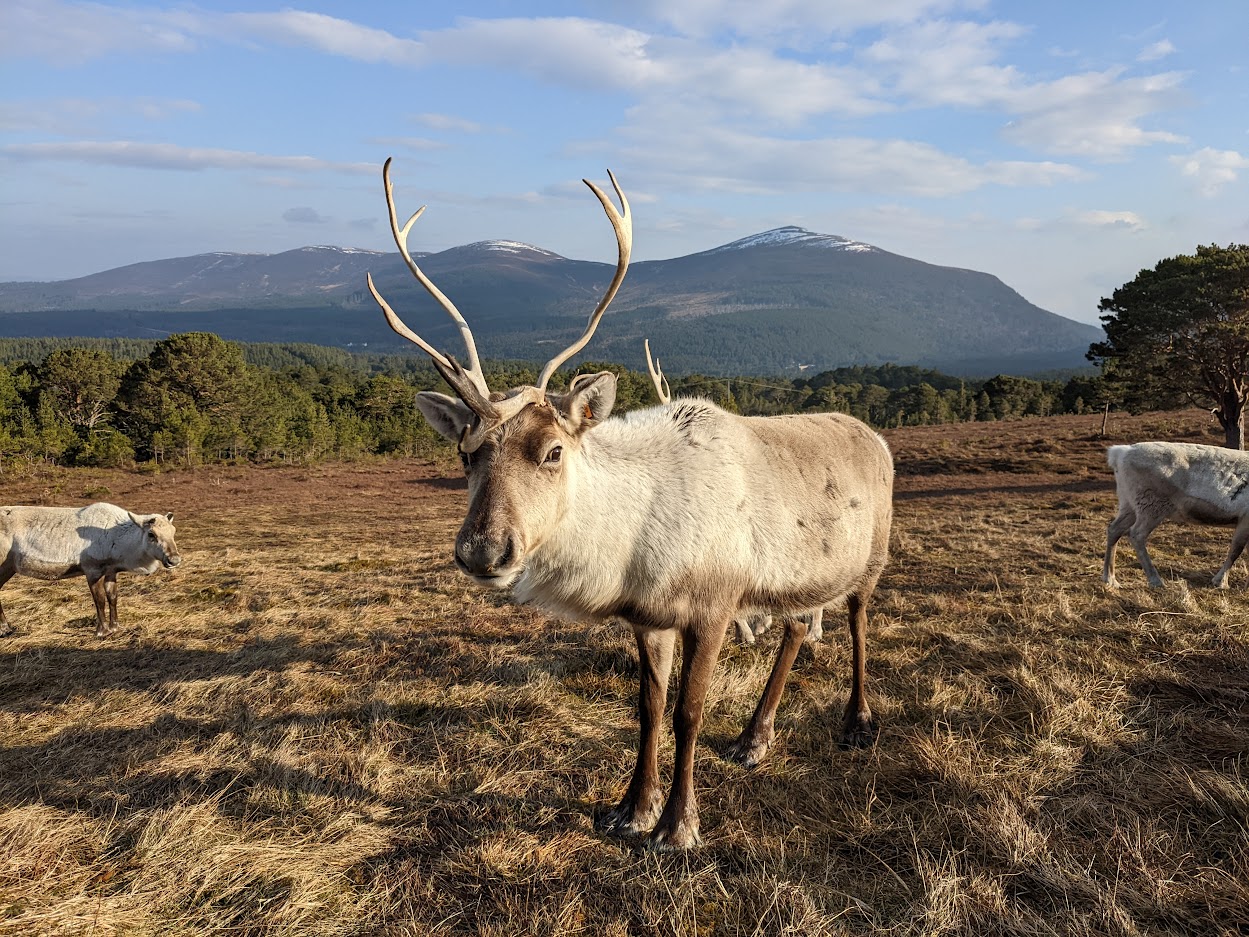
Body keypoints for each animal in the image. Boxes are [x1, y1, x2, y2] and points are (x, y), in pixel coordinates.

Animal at [366, 158, 894, 849]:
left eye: (553, 450)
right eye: (465, 452)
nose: (483, 551)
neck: (635, 543)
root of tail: (876, 435)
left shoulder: (715, 604)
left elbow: (689, 712)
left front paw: (678, 824)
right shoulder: (648, 616)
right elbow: (648, 709)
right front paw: (631, 809)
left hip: (871, 558)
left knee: (857, 620)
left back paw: (858, 720)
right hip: (803, 573)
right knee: (799, 626)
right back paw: (755, 738)